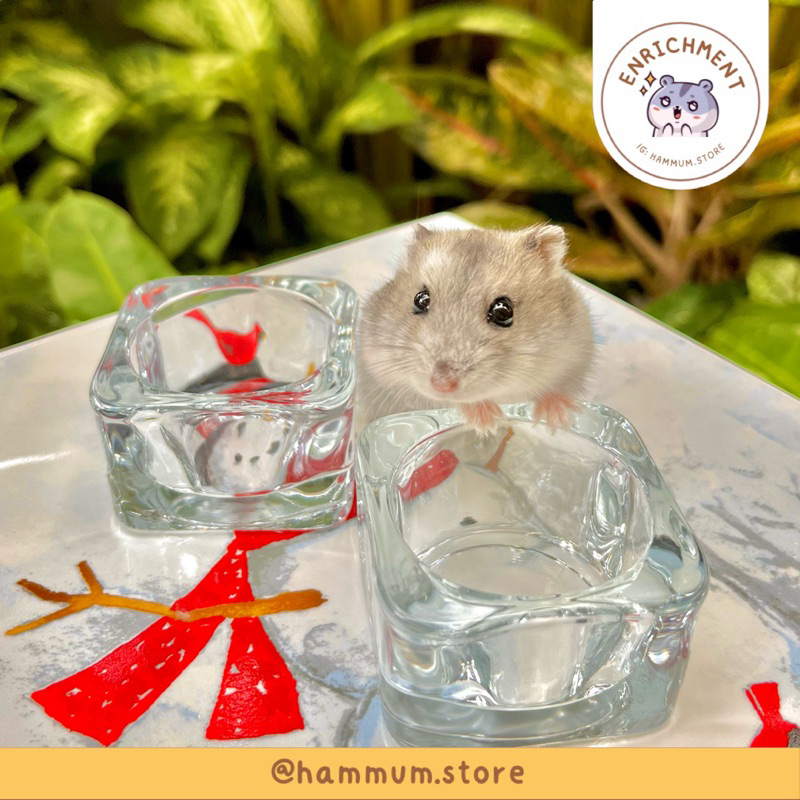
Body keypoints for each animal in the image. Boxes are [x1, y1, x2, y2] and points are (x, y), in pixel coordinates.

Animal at [357, 223, 594, 433]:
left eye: (503, 311)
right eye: (420, 299)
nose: (441, 385)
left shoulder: (574, 361)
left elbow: (556, 389)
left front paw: (559, 420)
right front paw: (488, 423)